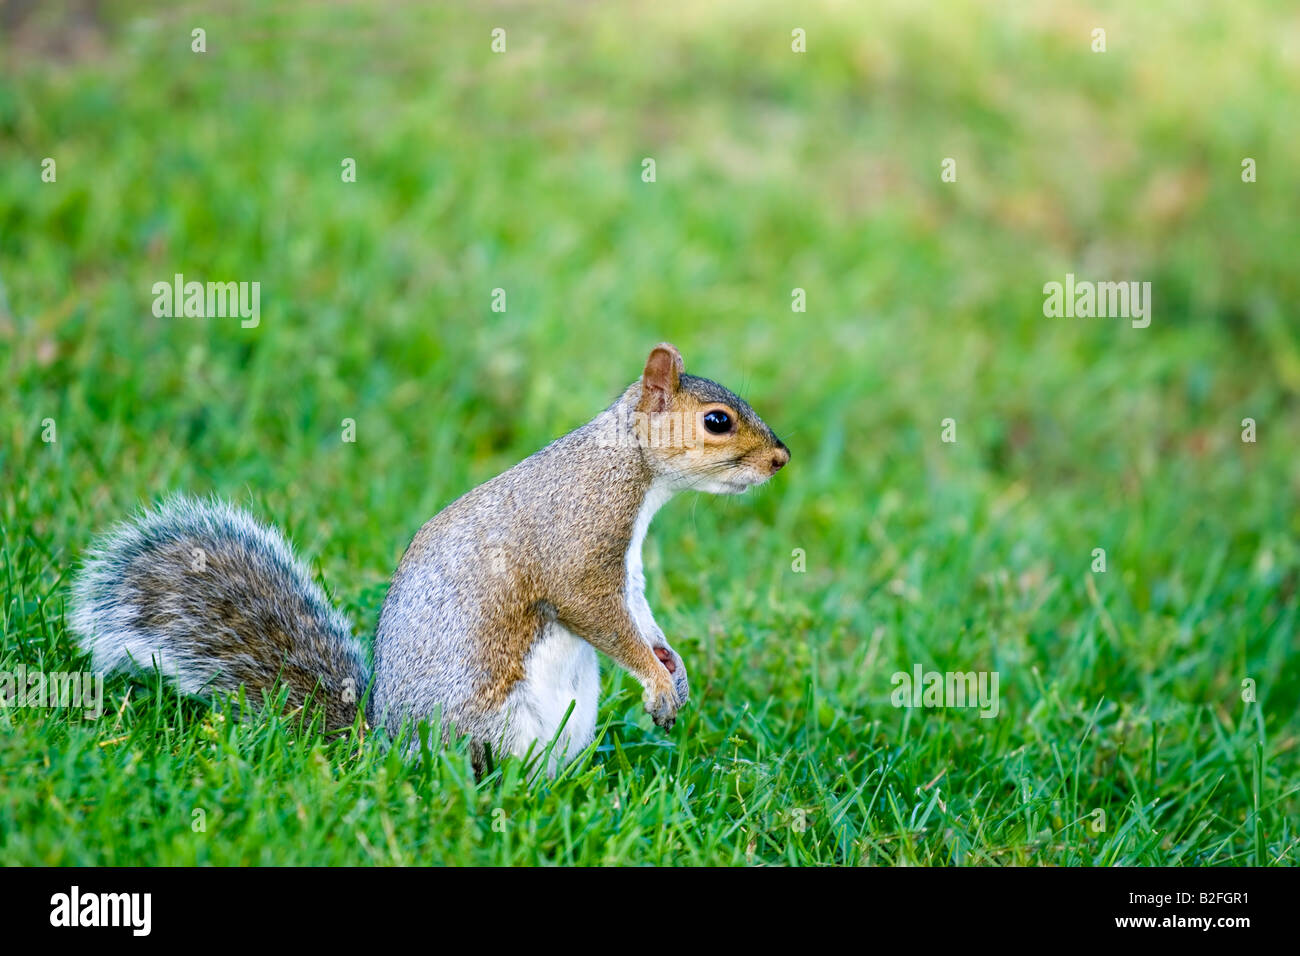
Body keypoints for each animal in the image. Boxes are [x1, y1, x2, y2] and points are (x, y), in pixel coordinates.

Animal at [69, 343, 789, 773]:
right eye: (718, 421)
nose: (781, 459)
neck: (628, 469)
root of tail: (385, 748)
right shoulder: (578, 549)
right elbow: (602, 617)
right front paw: (656, 681)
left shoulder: (626, 569)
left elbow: (640, 613)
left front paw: (674, 667)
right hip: (490, 724)